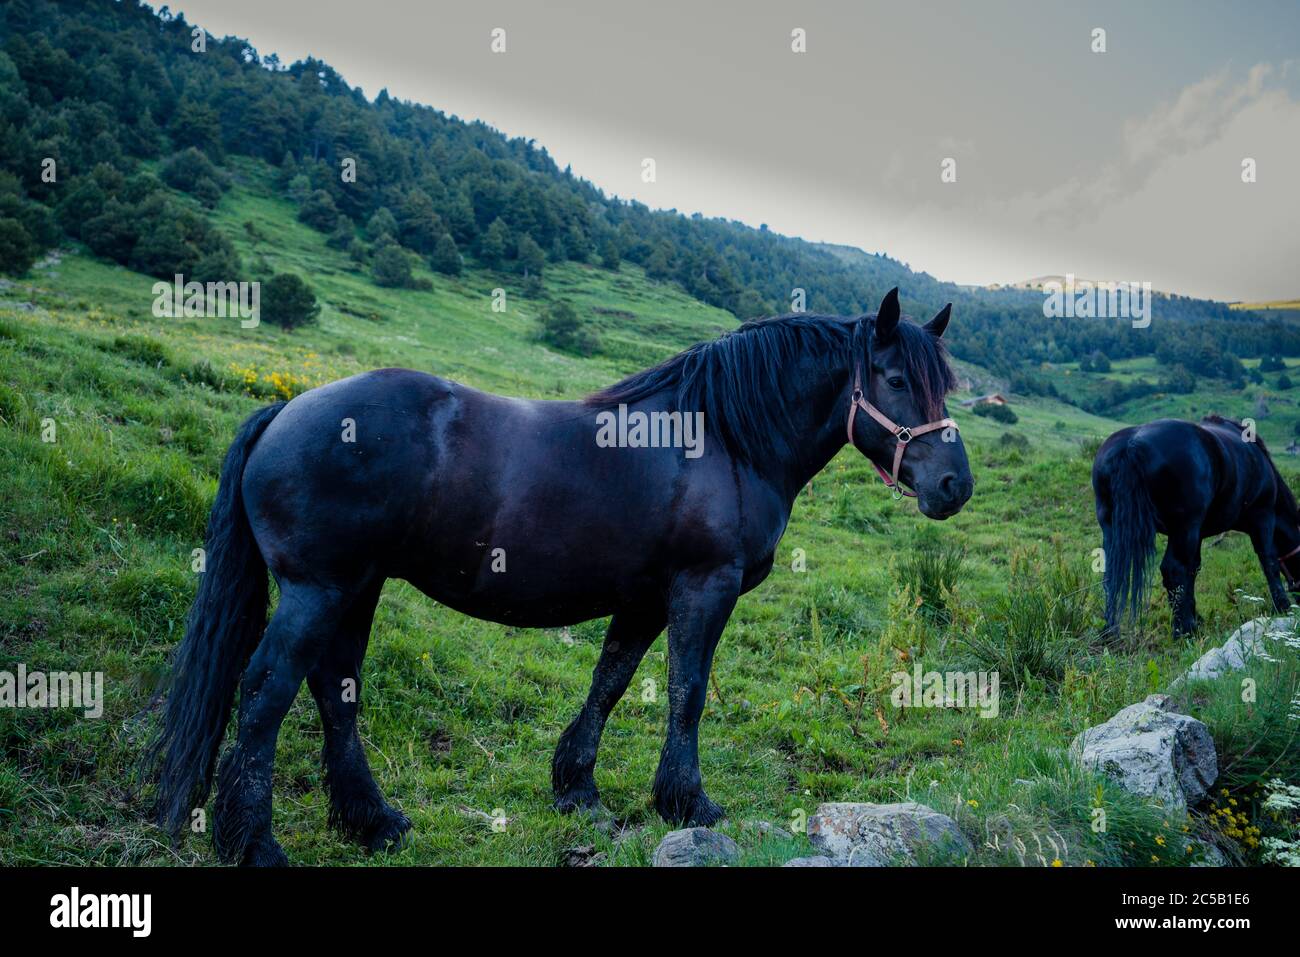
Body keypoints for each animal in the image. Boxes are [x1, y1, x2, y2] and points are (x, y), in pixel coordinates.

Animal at [148, 287, 973, 865]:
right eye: (894, 378)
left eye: (945, 386)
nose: (953, 485)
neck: (722, 436)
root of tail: (288, 407)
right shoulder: (703, 588)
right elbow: (688, 690)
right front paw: (687, 801)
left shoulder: (644, 599)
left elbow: (611, 682)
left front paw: (577, 789)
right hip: (320, 589)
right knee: (266, 694)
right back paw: (257, 843)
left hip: (357, 587)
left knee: (334, 688)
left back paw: (373, 822)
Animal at [1092, 415, 1300, 638]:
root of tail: (1131, 446)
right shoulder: (1263, 516)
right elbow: (1269, 560)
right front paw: (1282, 606)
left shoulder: (1198, 533)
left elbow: (1193, 569)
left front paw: (1194, 616)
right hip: (1184, 527)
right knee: (1173, 569)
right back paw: (1182, 631)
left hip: (1116, 528)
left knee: (1111, 573)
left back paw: (1110, 630)